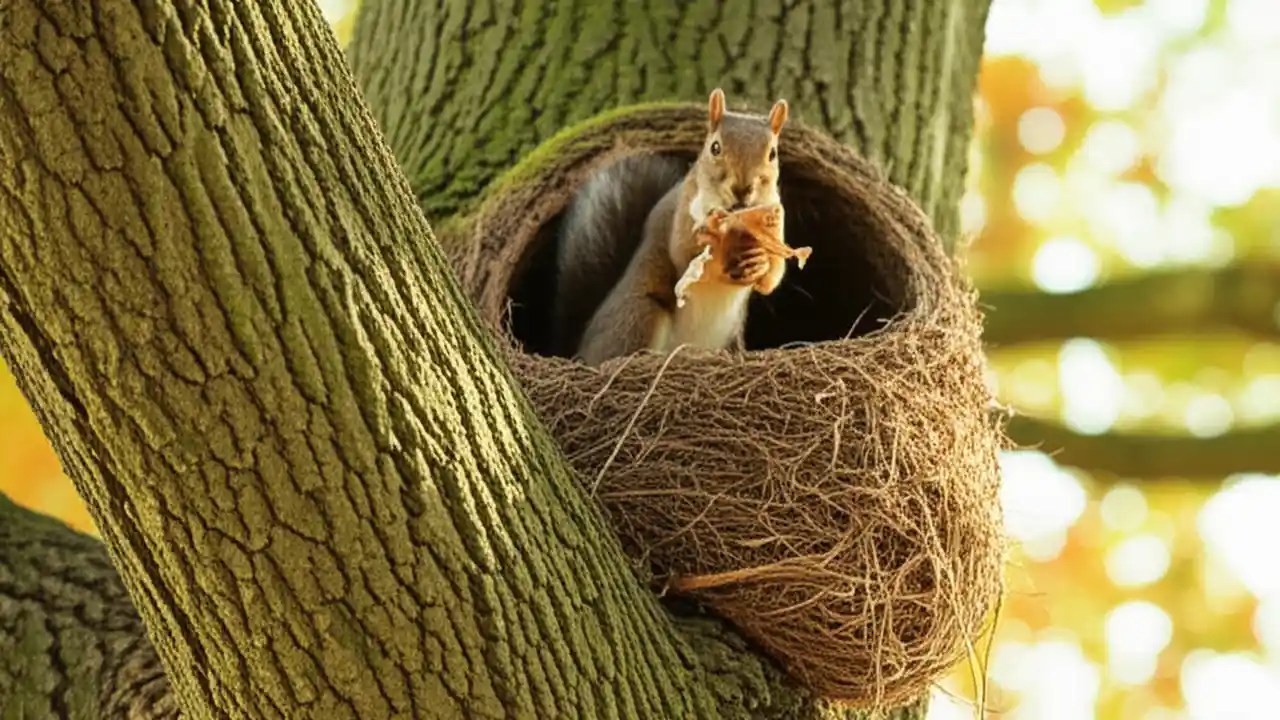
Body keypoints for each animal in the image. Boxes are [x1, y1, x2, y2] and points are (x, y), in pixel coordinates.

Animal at [554, 88, 791, 365]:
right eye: (715, 147)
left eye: (772, 153)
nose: (742, 189)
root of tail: (582, 347)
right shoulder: (683, 214)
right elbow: (683, 255)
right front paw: (729, 252)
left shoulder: (777, 220)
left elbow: (774, 274)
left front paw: (760, 262)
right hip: (641, 316)